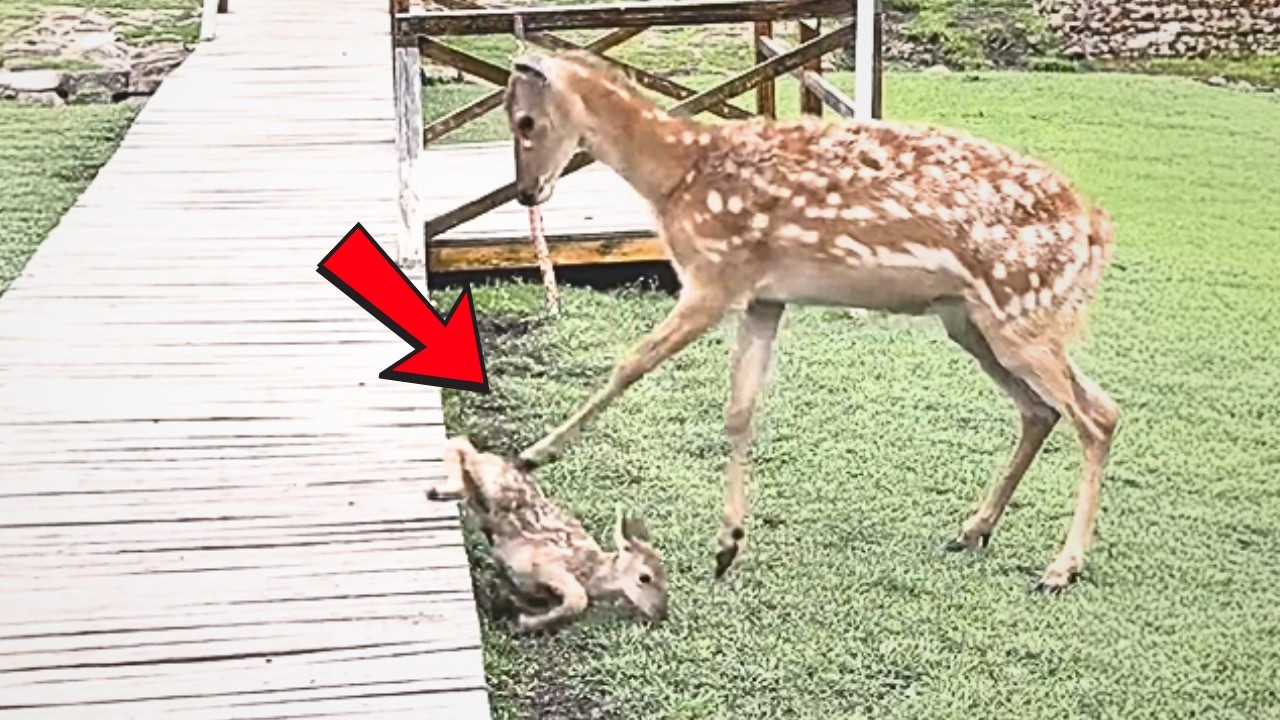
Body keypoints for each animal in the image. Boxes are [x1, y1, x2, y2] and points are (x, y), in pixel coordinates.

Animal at [427, 436, 669, 633]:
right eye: (645, 577)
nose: (661, 613)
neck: (592, 570)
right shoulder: (546, 562)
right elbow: (578, 599)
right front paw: (525, 623)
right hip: (492, 479)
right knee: (464, 446)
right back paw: (444, 489)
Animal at [500, 50, 1119, 594]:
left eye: (524, 120)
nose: (527, 192)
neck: (676, 177)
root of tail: (1095, 229)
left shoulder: (714, 276)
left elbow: (631, 363)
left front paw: (534, 453)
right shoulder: (763, 298)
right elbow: (740, 411)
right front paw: (728, 546)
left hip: (1019, 310)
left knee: (1093, 418)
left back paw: (1061, 567)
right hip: (975, 320)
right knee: (1055, 410)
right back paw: (973, 530)